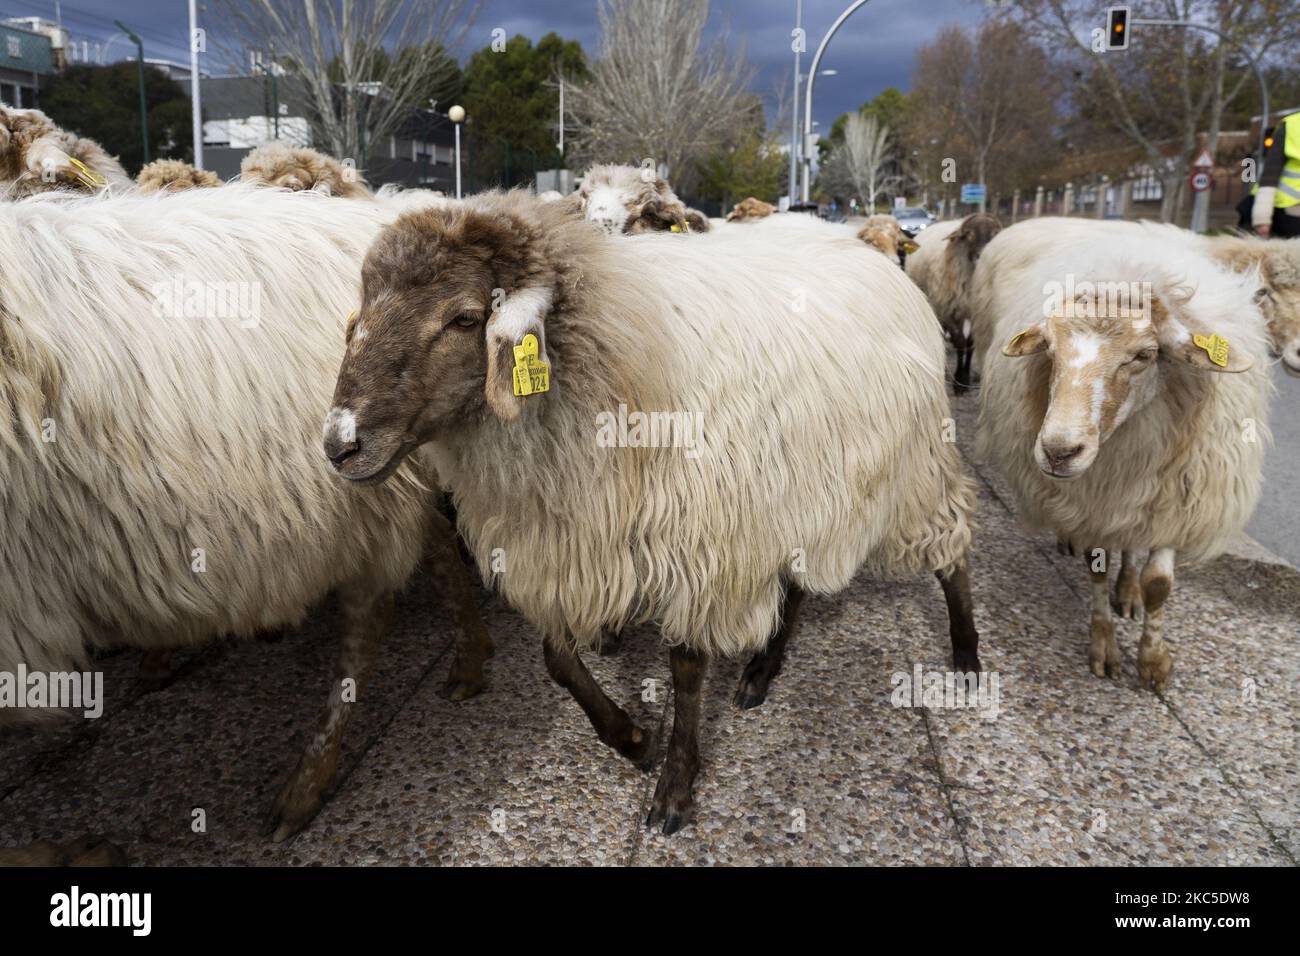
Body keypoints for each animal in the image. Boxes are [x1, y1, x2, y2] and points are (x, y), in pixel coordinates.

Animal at [322, 189, 981, 834]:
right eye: (362, 309)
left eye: (463, 317)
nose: (338, 445)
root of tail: (876, 257)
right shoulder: (568, 541)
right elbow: (557, 660)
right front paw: (634, 740)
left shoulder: (699, 545)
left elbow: (686, 669)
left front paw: (674, 787)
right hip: (800, 491)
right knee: (796, 585)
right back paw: (762, 669)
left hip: (917, 470)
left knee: (953, 555)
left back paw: (968, 657)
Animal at [906, 213, 1003, 392]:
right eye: (969, 234)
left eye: (995, 234)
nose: (982, 255)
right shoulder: (947, 309)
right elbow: (959, 341)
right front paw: (959, 381)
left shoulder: (975, 312)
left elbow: (970, 344)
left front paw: (966, 377)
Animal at [973, 221, 1271, 691]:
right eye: (1050, 351)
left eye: (1145, 355)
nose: (1059, 451)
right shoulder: (1093, 499)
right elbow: (1096, 568)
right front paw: (1105, 647)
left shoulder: (1176, 496)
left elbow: (1159, 584)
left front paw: (1153, 661)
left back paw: (1128, 589)